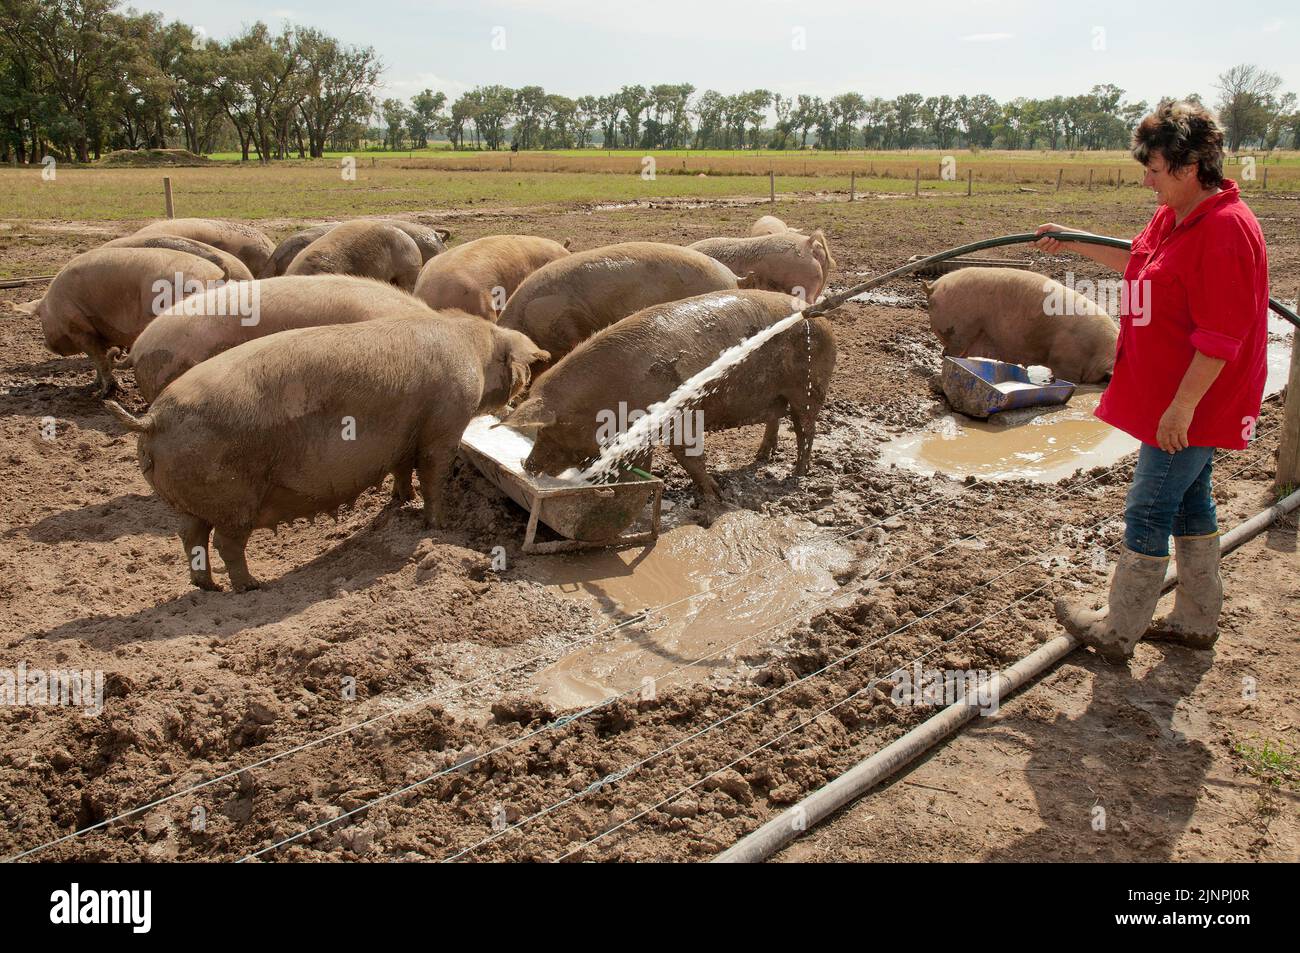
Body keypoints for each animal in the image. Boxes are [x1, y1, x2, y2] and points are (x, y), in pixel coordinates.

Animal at [14, 247, 226, 395]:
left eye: (40, 319)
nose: (47, 345)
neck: (51, 306)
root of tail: (215, 277)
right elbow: (100, 358)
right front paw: (94, 385)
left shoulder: (80, 329)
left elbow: (98, 358)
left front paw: (106, 393)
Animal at [104, 315, 549, 591]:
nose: (533, 373)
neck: (476, 352)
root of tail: (152, 419)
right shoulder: (443, 424)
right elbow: (433, 473)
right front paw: (438, 526)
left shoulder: (403, 435)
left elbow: (402, 469)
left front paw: (401, 502)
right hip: (233, 496)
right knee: (226, 543)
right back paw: (250, 586)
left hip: (192, 501)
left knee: (190, 535)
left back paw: (207, 586)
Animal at [503, 289, 836, 520]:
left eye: (552, 428)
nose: (528, 466)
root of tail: (822, 318)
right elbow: (643, 465)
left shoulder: (680, 417)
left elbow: (687, 456)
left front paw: (715, 495)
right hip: (776, 396)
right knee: (776, 419)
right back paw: (762, 456)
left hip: (810, 388)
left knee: (806, 429)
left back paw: (798, 473)